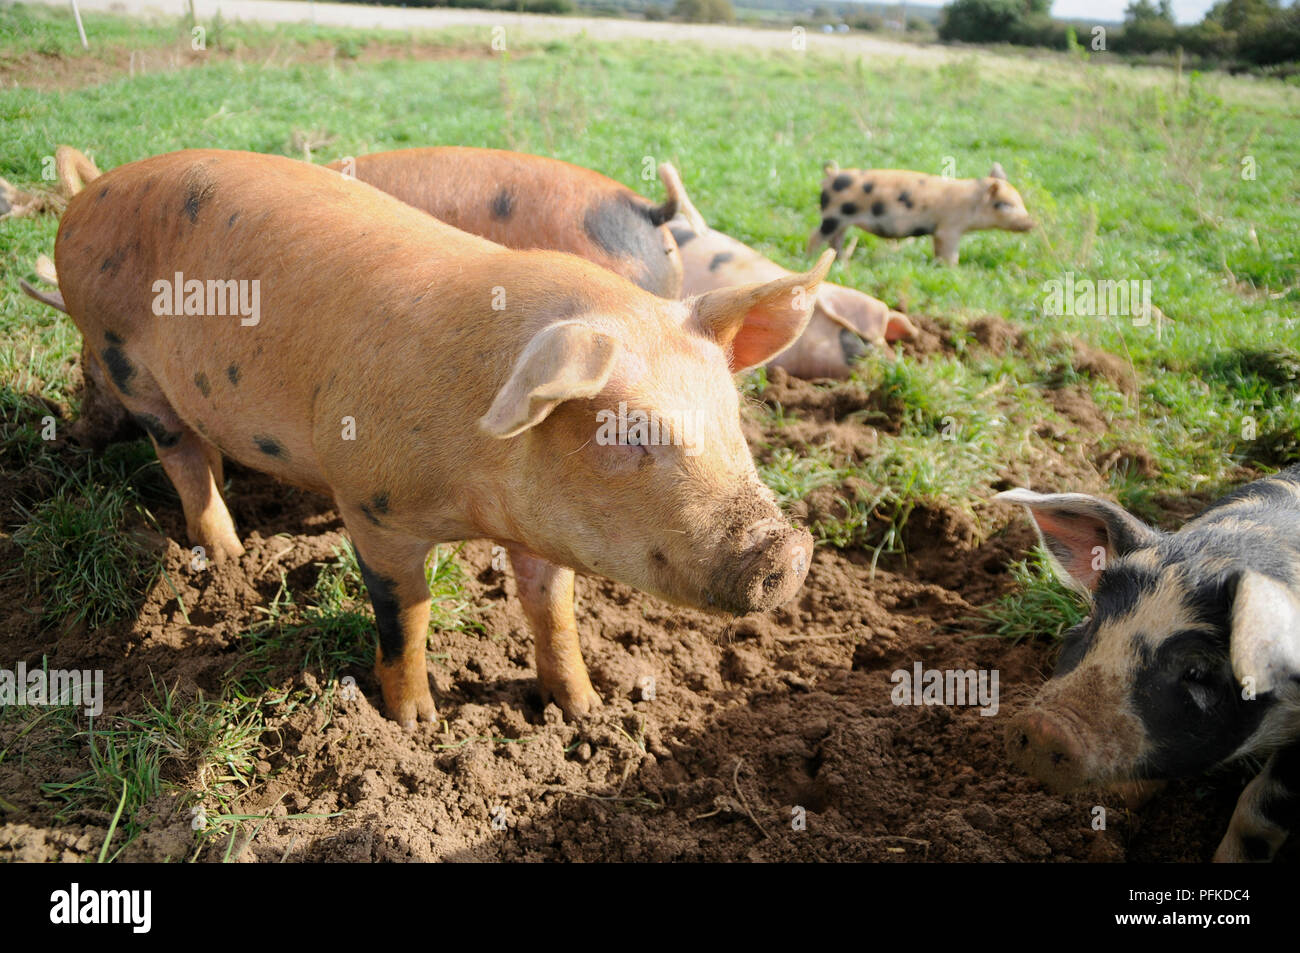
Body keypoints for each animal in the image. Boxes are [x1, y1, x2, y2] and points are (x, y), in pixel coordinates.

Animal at [808, 162, 1034, 266]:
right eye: (1004, 204)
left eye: (1021, 202)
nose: (1032, 223)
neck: (970, 205)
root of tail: (832, 175)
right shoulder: (949, 228)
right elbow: (950, 252)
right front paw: (952, 268)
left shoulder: (940, 232)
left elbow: (938, 249)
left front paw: (938, 265)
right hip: (833, 216)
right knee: (815, 235)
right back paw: (810, 258)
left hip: (841, 221)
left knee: (835, 240)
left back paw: (841, 261)